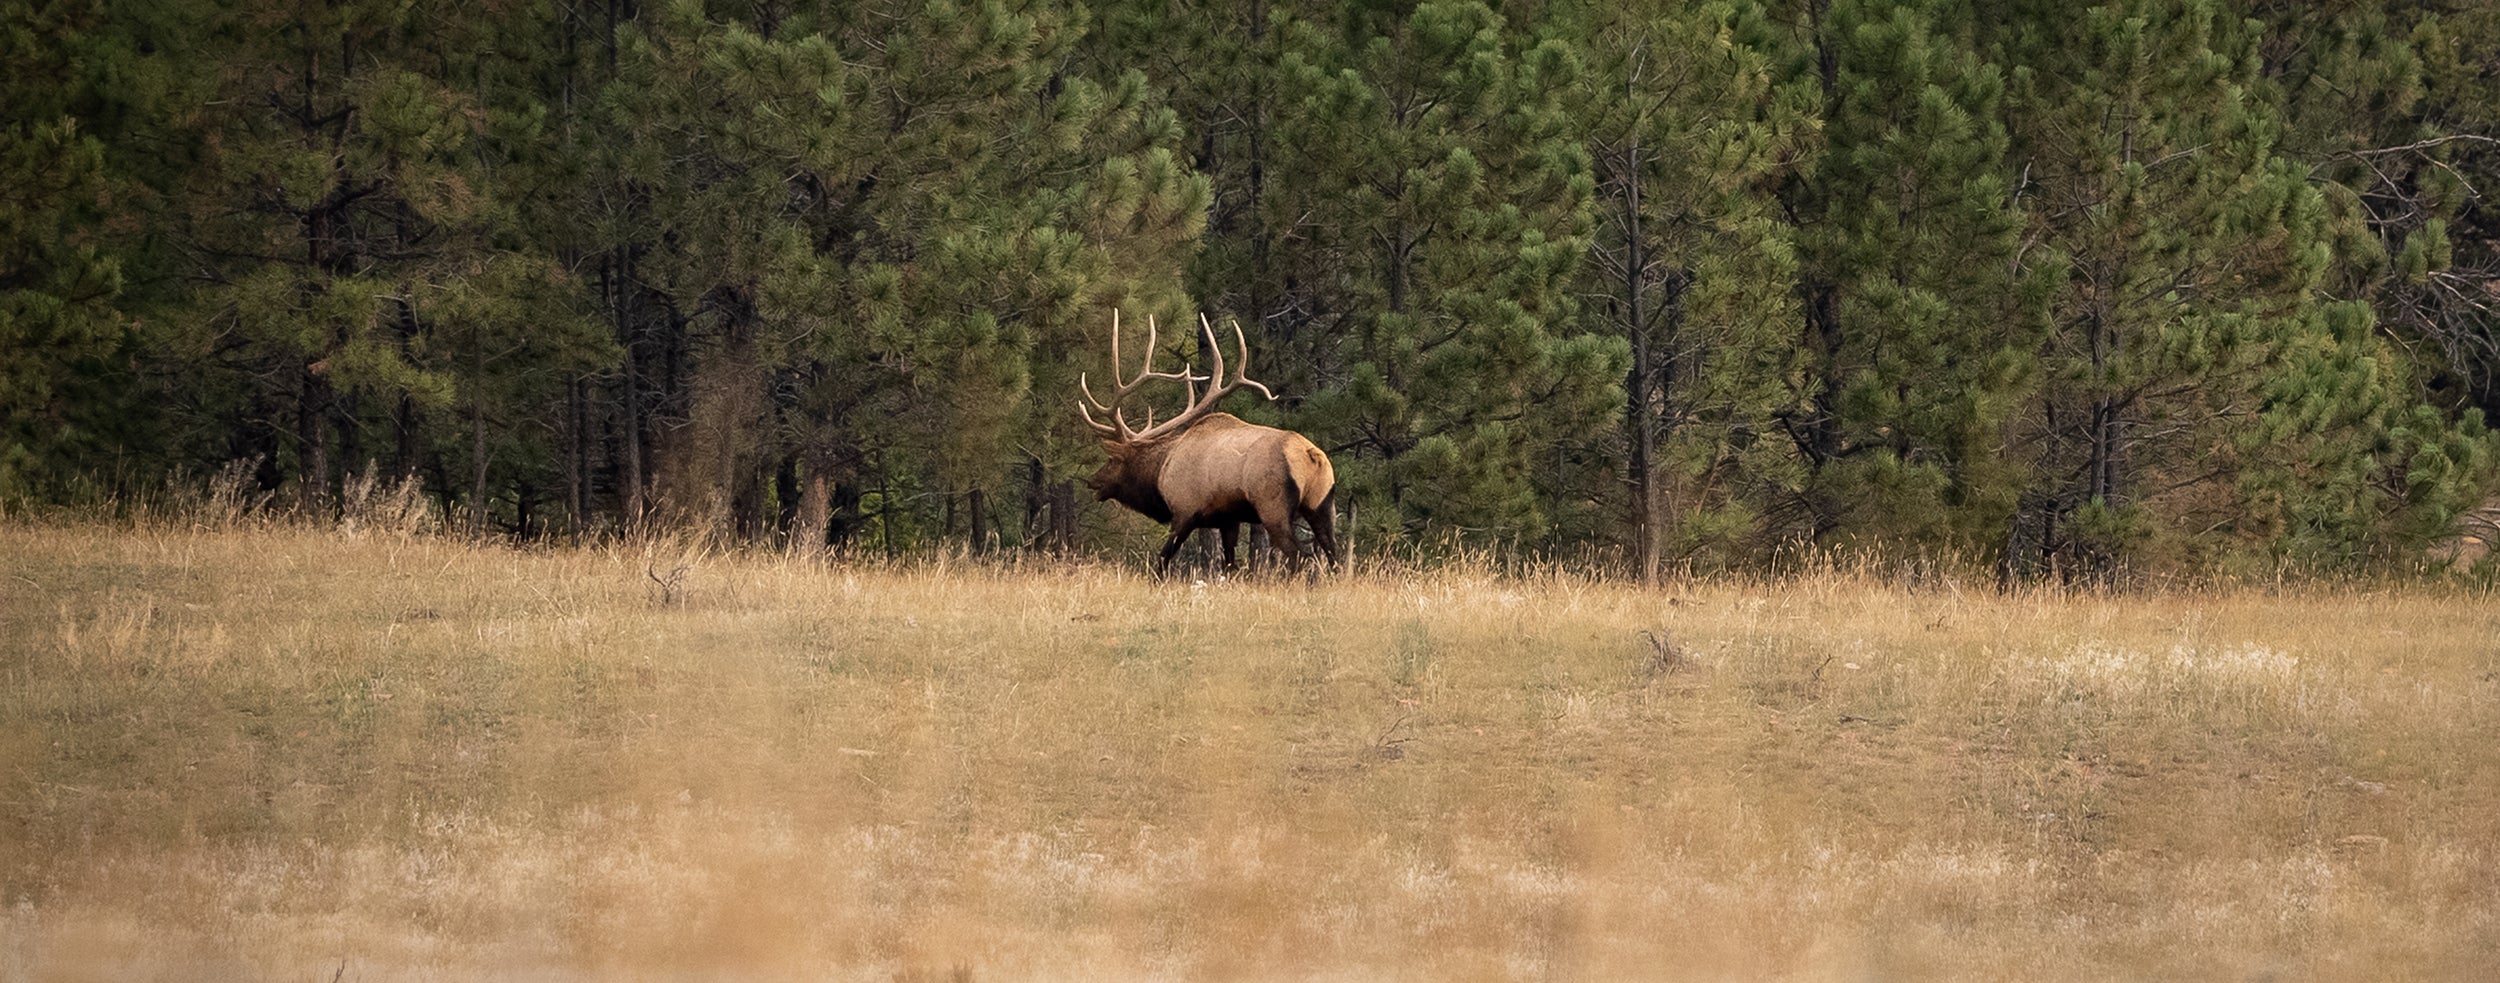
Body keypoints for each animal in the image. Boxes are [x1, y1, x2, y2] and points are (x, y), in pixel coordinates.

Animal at [1079, 311, 1340, 576]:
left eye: (1112, 461)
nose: (1091, 480)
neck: (1160, 473)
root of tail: (1312, 456)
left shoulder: (1184, 511)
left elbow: (1162, 562)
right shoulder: (1228, 519)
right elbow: (1230, 564)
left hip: (1273, 507)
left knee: (1301, 556)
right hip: (1323, 504)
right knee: (1334, 556)